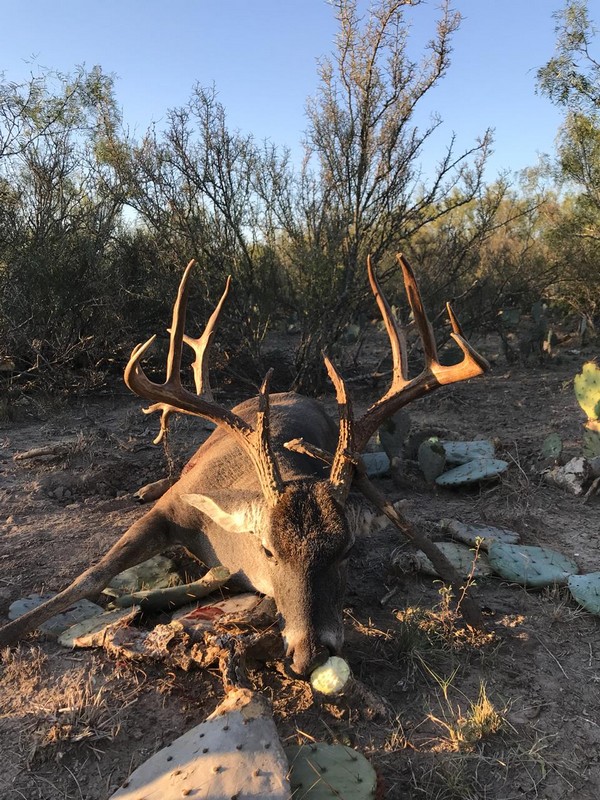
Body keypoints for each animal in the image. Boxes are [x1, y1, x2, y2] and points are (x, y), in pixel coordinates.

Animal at [0, 255, 489, 675]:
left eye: (347, 551)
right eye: (269, 549)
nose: (310, 654)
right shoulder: (177, 505)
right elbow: (89, 576)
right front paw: (11, 629)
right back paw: (144, 486)